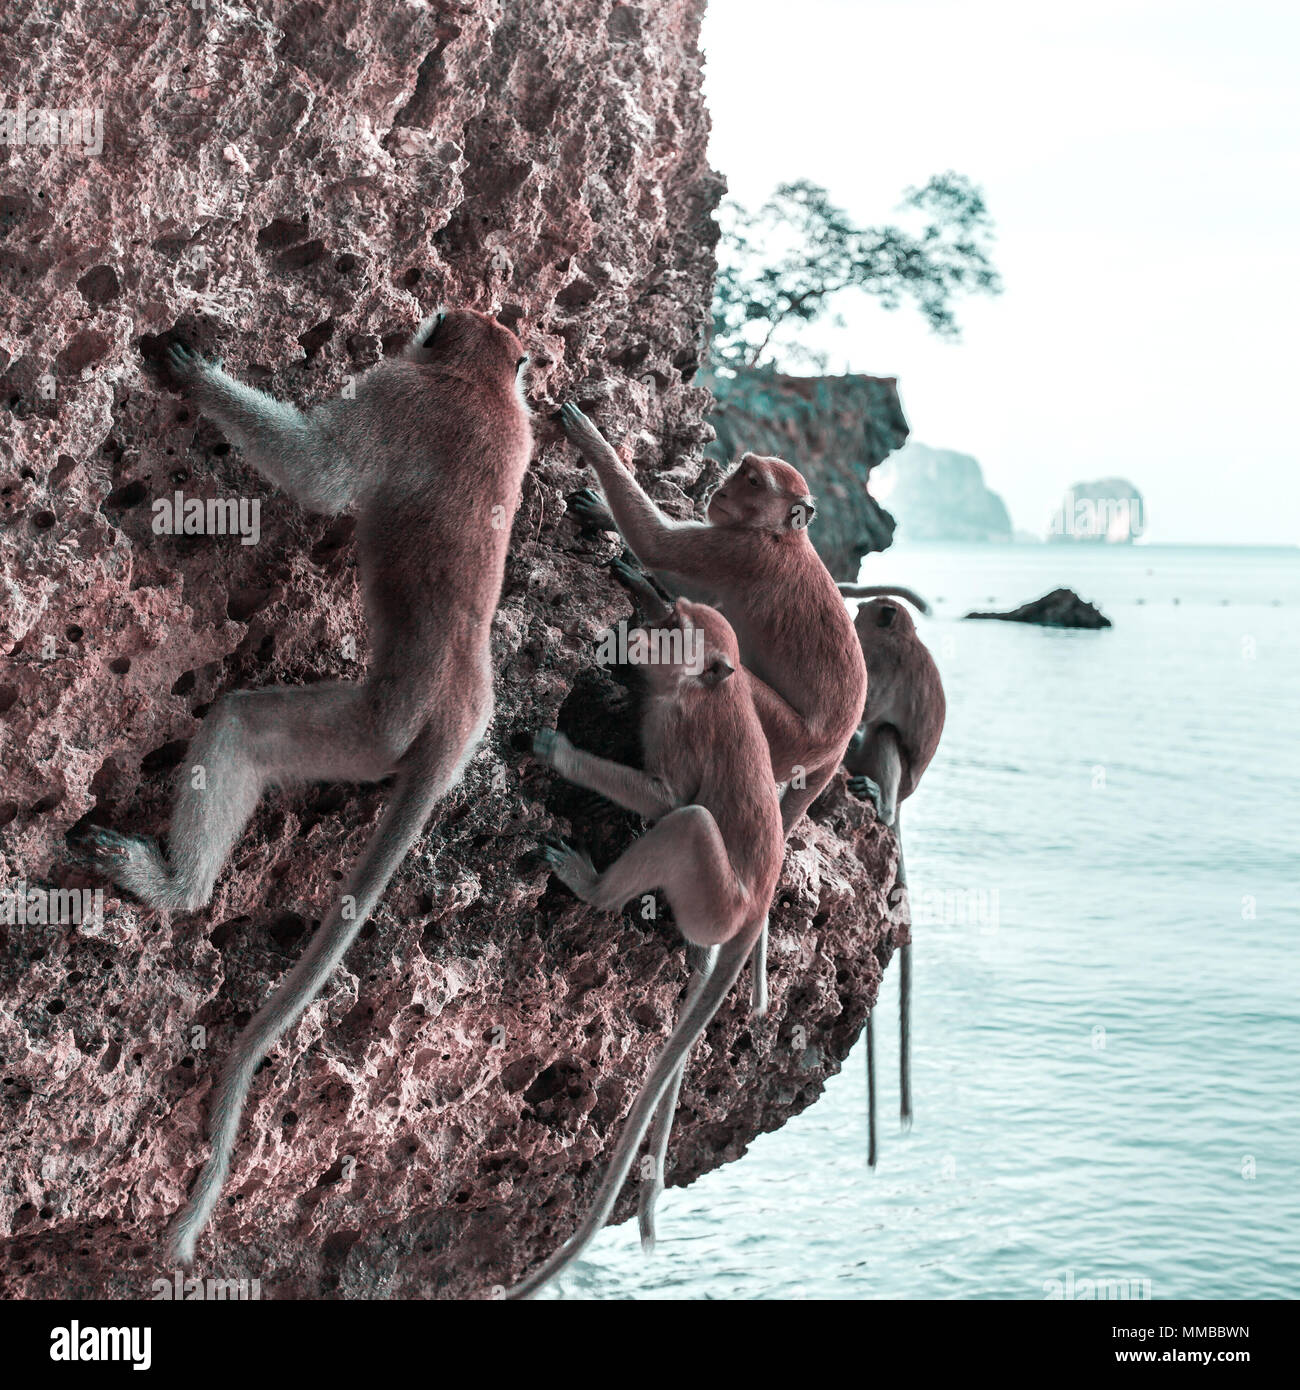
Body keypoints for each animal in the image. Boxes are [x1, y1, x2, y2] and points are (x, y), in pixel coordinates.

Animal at [69, 308, 533, 1263]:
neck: (487, 385)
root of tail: (454, 722)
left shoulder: (398, 392)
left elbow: (322, 475)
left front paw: (195, 378)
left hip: (364, 729)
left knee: (241, 727)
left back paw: (173, 886)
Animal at [504, 597, 784, 1299]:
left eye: (675, 628)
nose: (639, 629)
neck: (695, 689)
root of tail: (757, 904)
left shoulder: (678, 727)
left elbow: (670, 796)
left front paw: (560, 753)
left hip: (713, 892)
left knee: (689, 823)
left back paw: (596, 889)